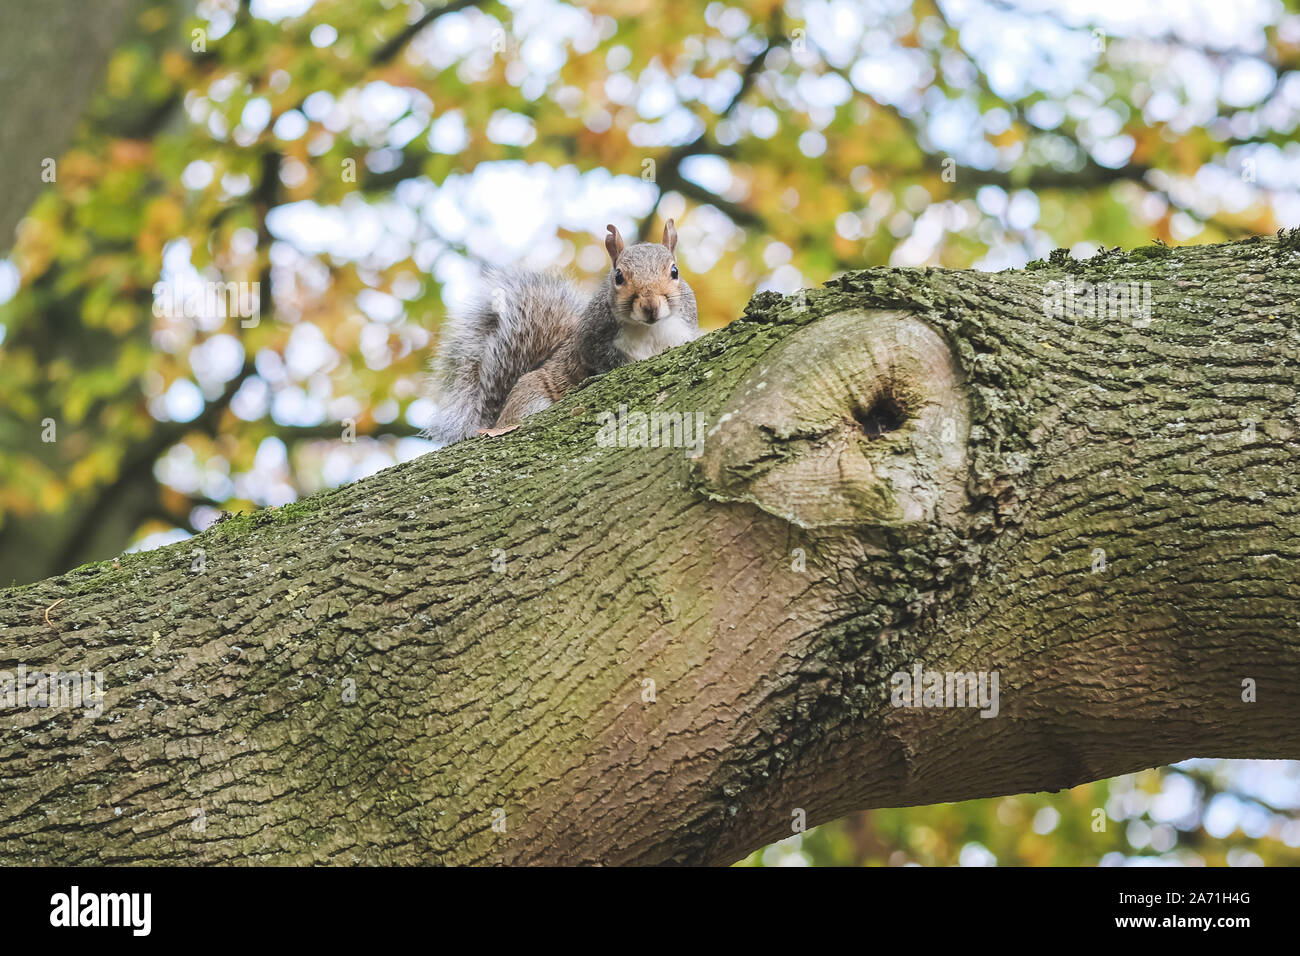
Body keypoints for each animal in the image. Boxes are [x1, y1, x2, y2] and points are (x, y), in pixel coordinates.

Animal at [423, 220, 699, 444]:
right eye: (618, 276)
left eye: (674, 271)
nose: (650, 306)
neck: (650, 329)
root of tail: (496, 421)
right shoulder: (592, 342)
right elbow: (605, 362)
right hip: (530, 397)